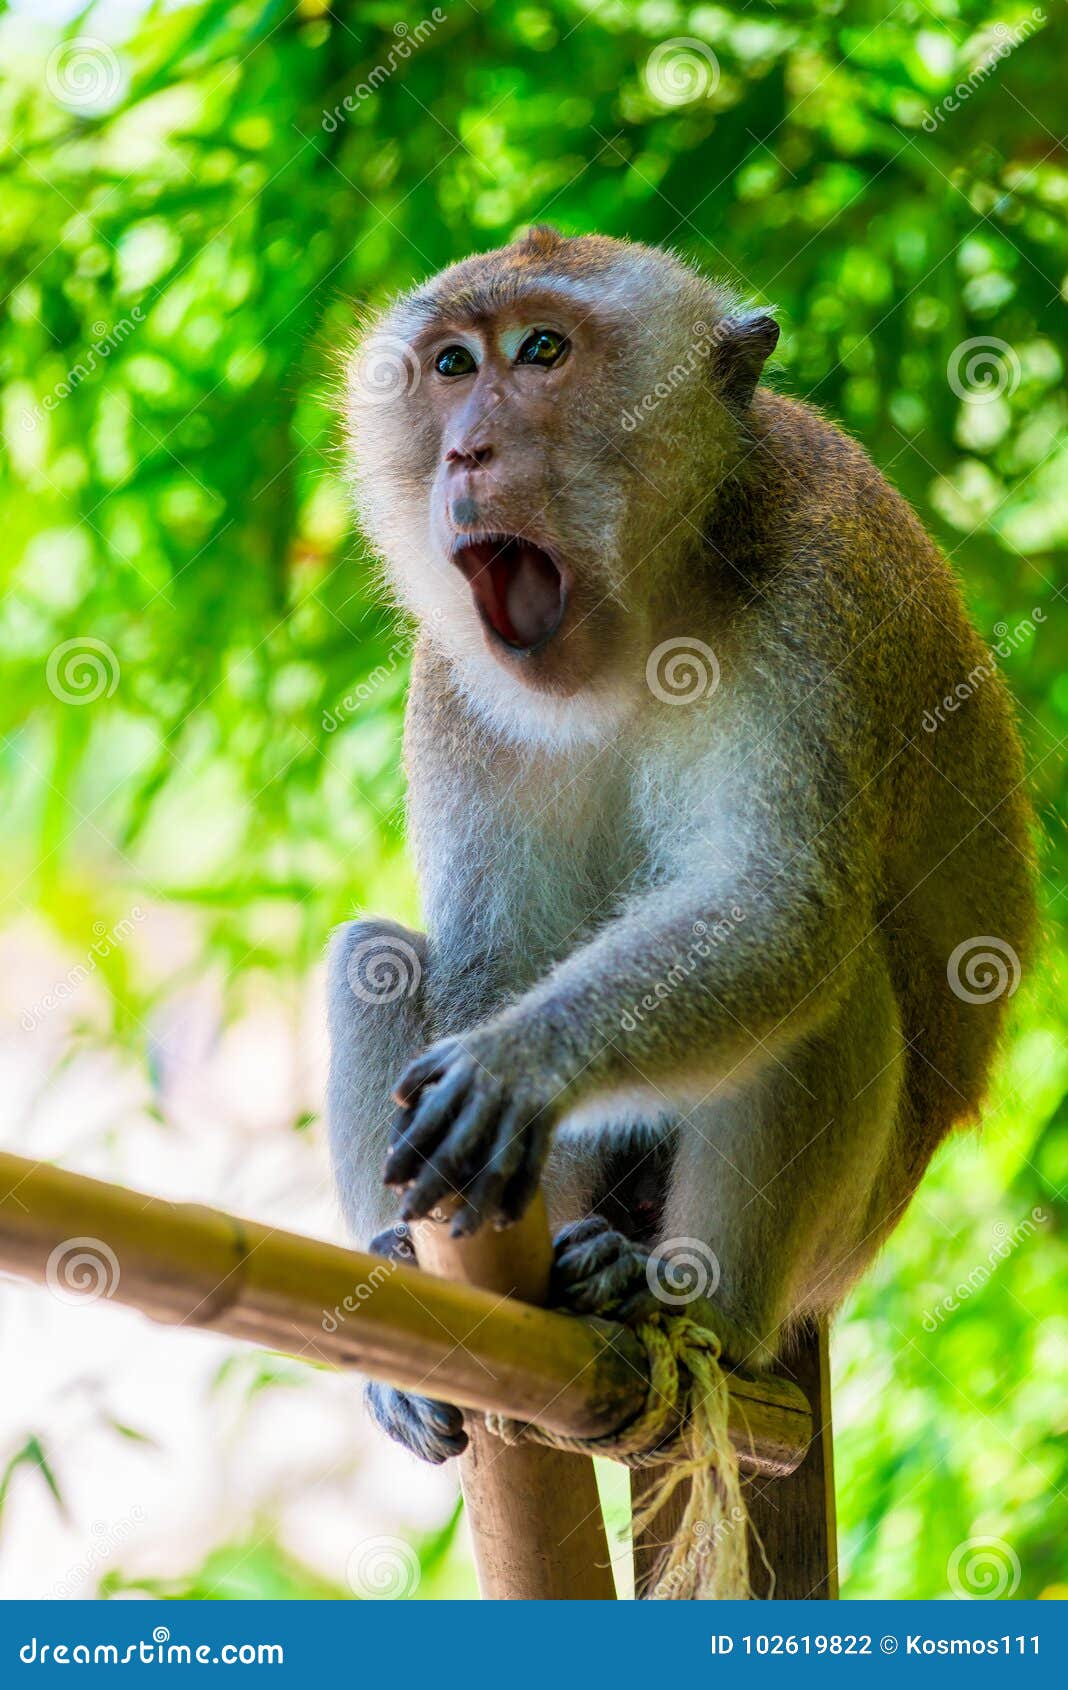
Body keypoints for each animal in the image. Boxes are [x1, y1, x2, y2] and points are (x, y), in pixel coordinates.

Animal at [327, 226, 1036, 1465]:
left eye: (543, 350)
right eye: (453, 364)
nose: (467, 451)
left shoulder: (816, 594)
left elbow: (778, 906)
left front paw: (522, 1064)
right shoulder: (450, 681)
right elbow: (486, 964)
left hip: (843, 1243)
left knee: (824, 978)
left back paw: (687, 1299)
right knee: (376, 955)